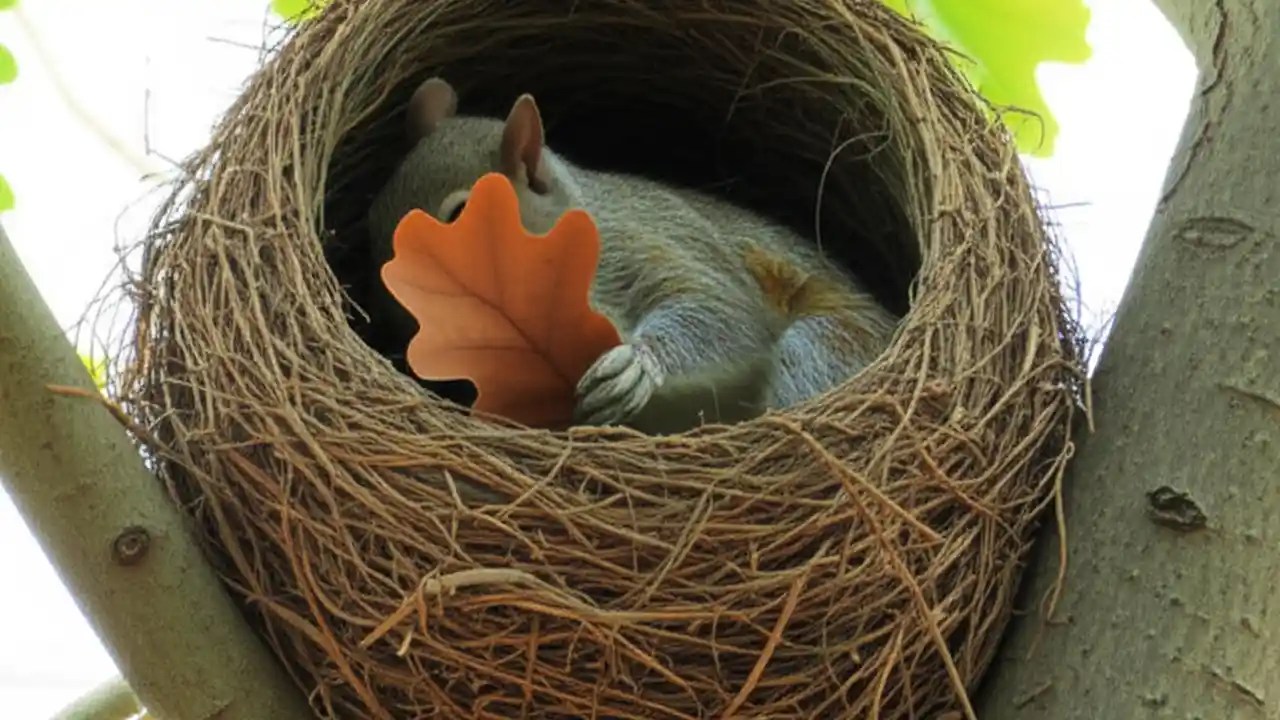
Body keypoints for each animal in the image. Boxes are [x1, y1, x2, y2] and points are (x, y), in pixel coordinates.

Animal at [367, 77, 898, 435]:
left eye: (459, 218)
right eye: (374, 215)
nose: (396, 319)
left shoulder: (640, 245)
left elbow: (726, 310)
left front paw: (638, 364)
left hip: (832, 344)